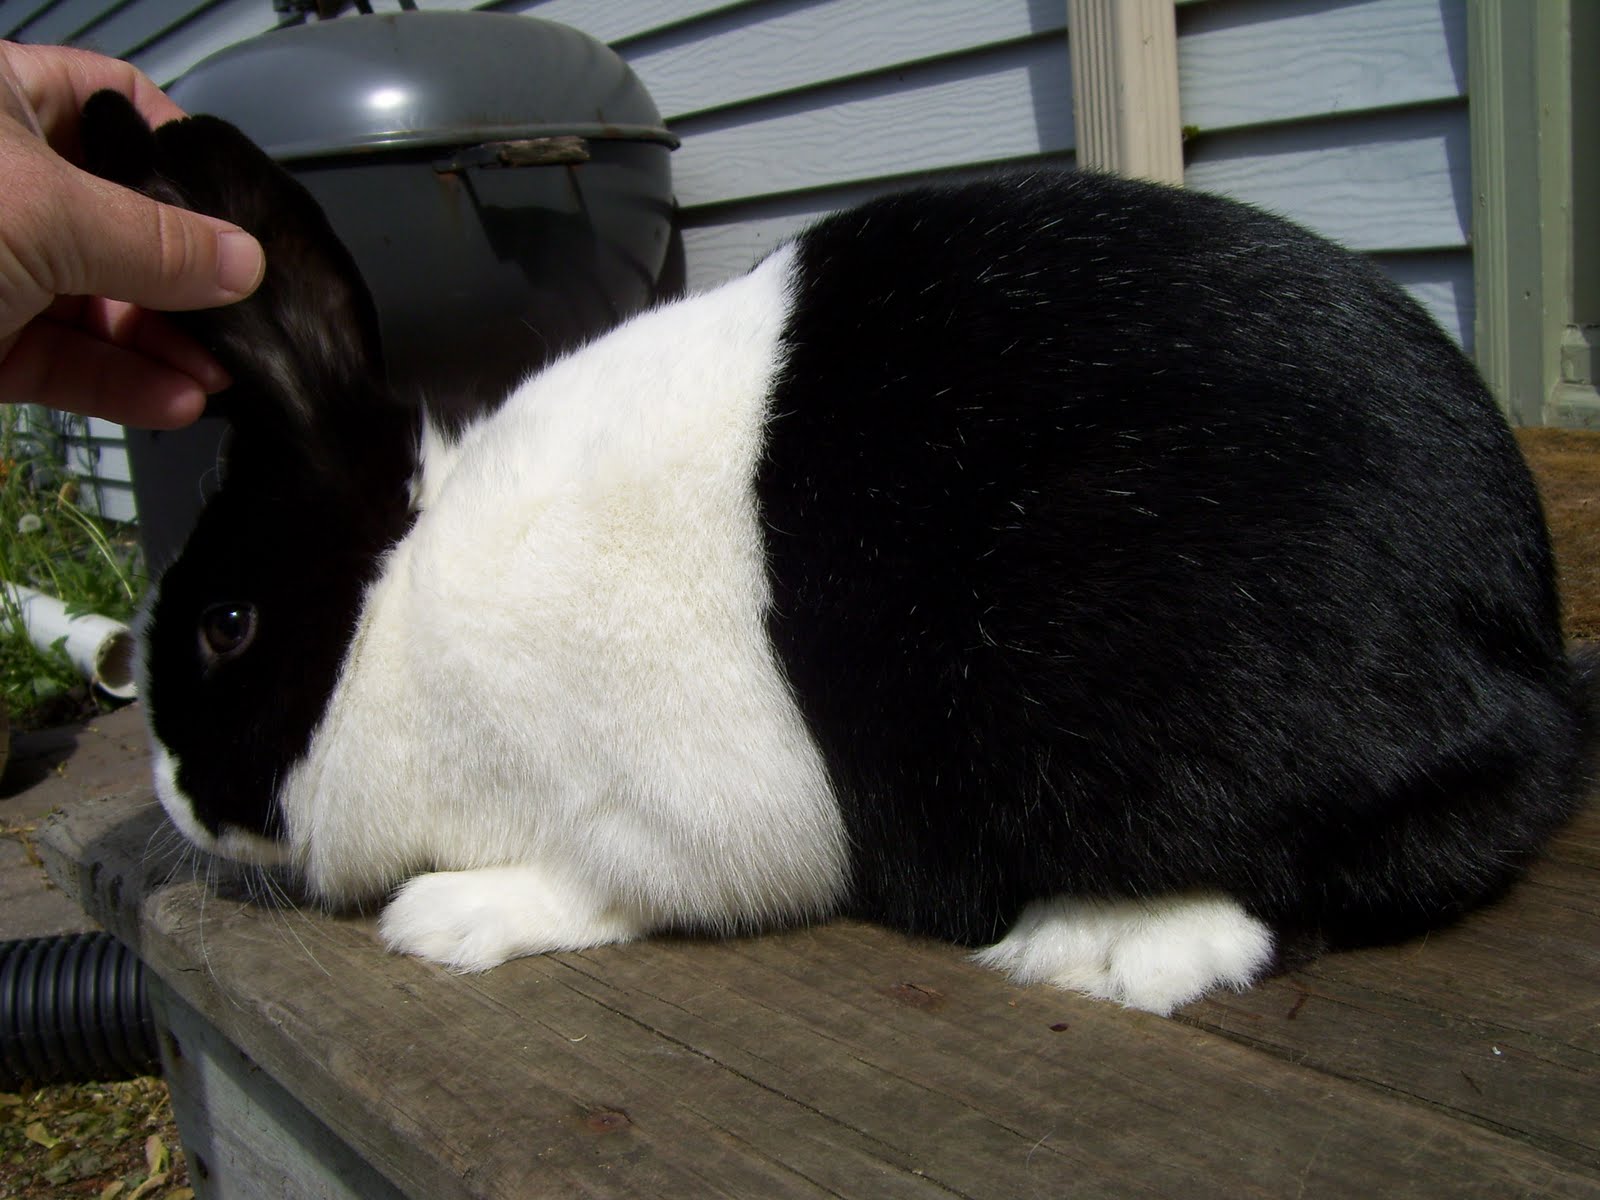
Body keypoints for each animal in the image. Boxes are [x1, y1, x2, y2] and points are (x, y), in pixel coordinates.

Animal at [82, 88, 1594, 1015]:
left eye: (227, 625)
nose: (172, 797)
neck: (406, 613)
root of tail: (1518, 633)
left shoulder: (680, 811)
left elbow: (605, 884)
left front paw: (446, 920)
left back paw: (1102, 947)